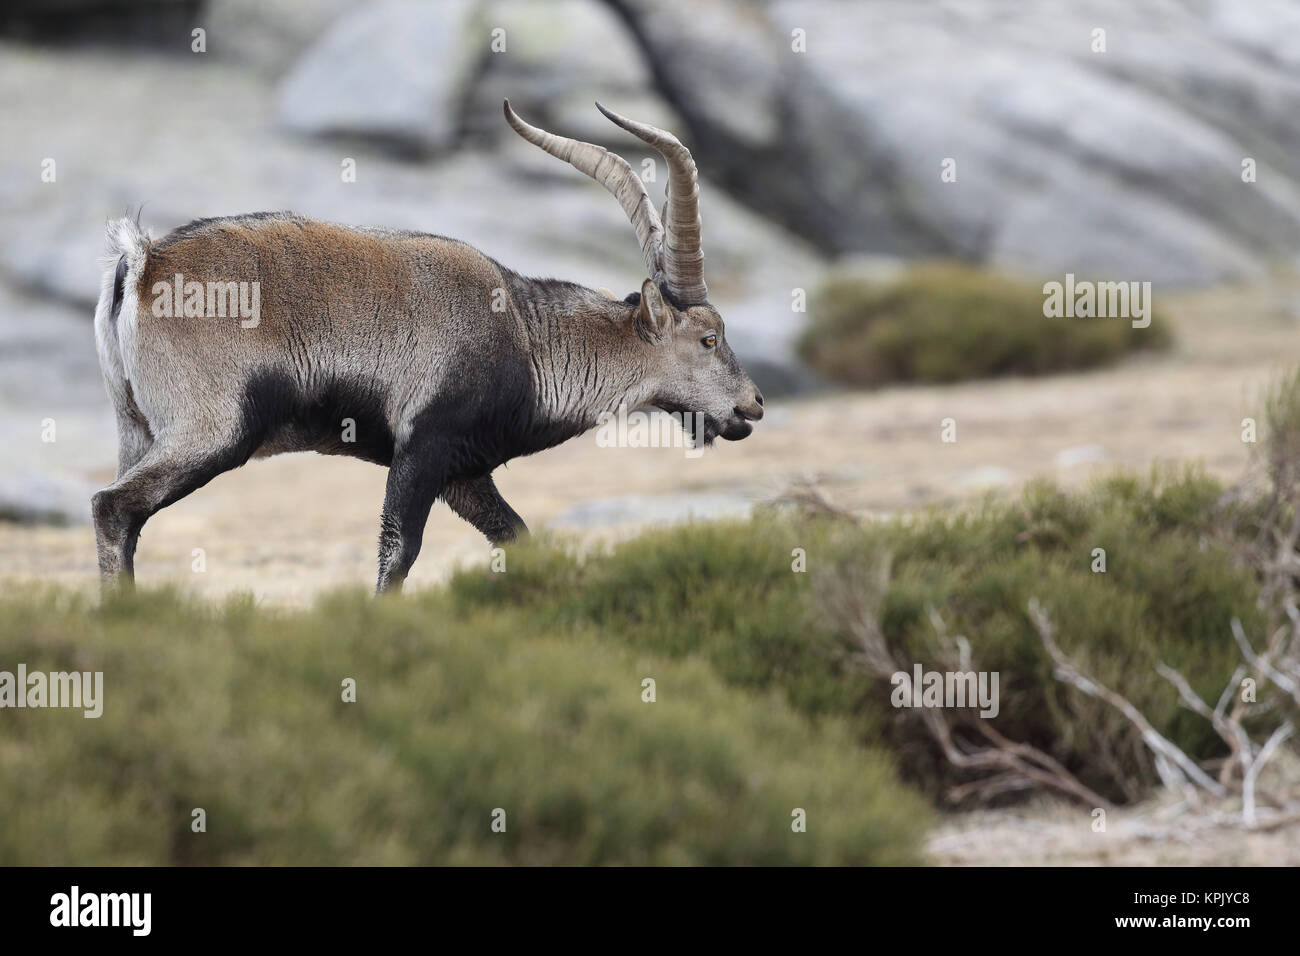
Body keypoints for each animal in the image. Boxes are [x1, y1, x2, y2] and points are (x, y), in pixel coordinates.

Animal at [91, 102, 764, 592]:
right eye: (708, 337)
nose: (752, 405)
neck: (526, 339)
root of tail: (143, 264)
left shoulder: (464, 472)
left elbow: (517, 537)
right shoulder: (424, 446)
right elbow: (399, 551)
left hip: (137, 429)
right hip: (213, 430)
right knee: (113, 507)